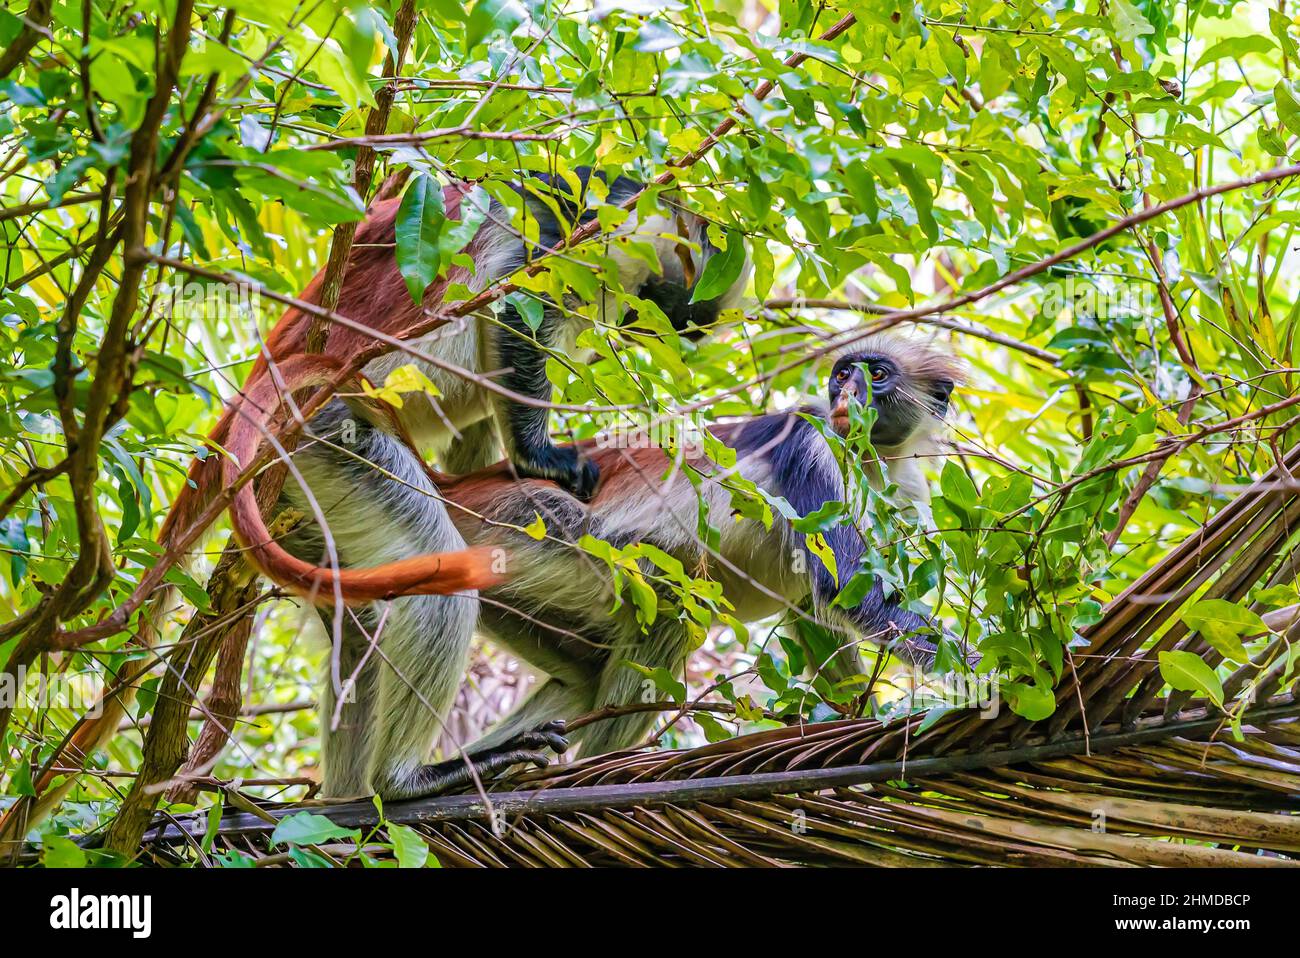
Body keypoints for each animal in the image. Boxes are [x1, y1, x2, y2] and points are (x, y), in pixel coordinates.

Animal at [284, 336, 963, 797]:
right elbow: (844, 588)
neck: (871, 458)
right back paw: (408, 782)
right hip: (527, 524)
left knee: (586, 673)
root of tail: (457, 486)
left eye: (875, 375)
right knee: (673, 600)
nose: (847, 394)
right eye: (843, 374)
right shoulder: (813, 442)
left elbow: (821, 616)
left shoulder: (904, 488)